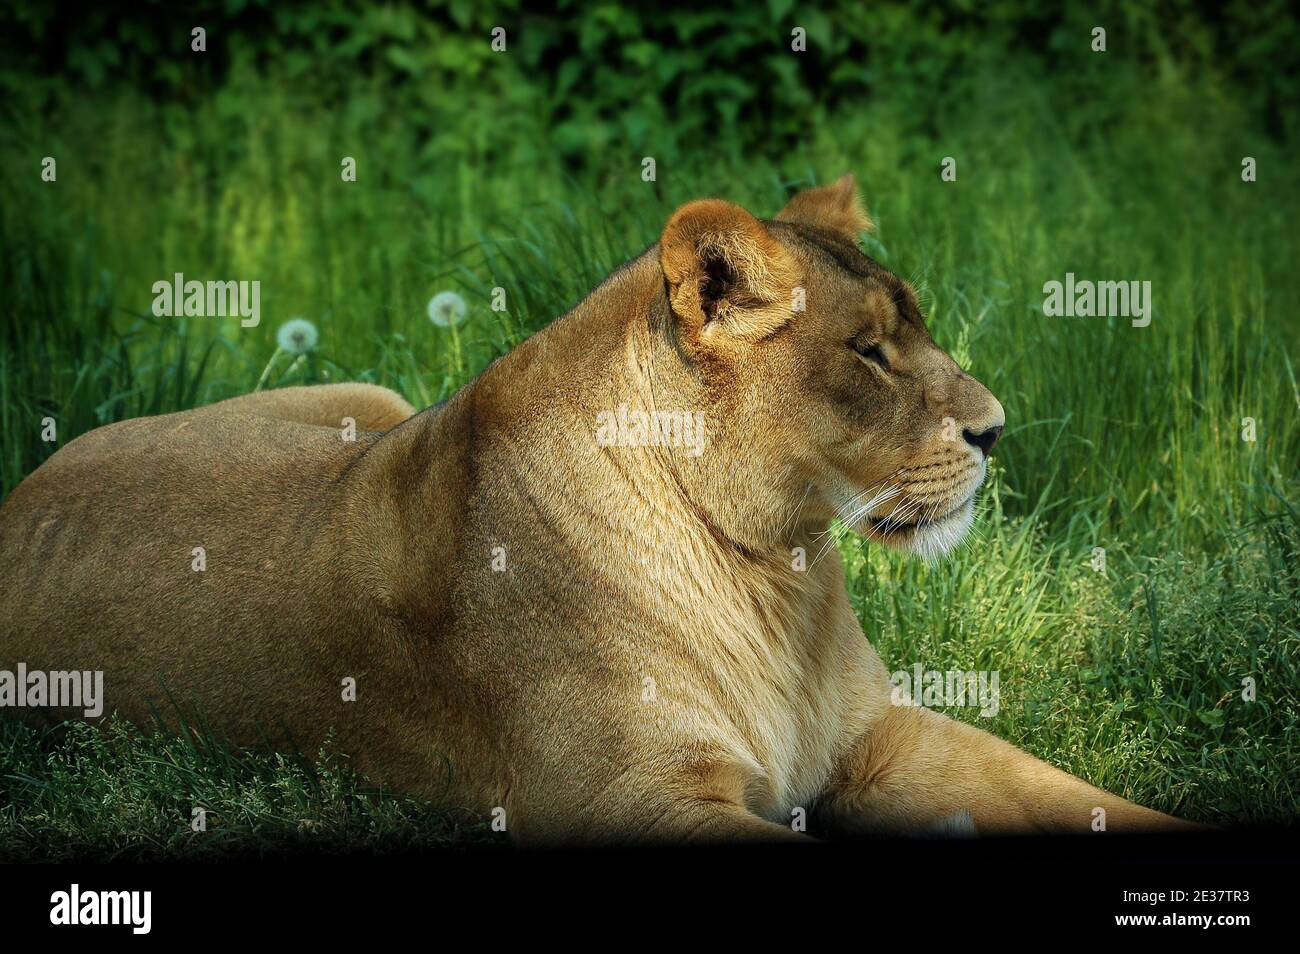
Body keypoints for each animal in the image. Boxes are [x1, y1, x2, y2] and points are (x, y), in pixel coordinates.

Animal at [0, 176, 1194, 843]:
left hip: (367, 403)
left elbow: (1064, 791)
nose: (997, 431)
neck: (775, 570)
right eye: (868, 352)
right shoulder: (632, 797)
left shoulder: (876, 740)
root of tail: (22, 491)